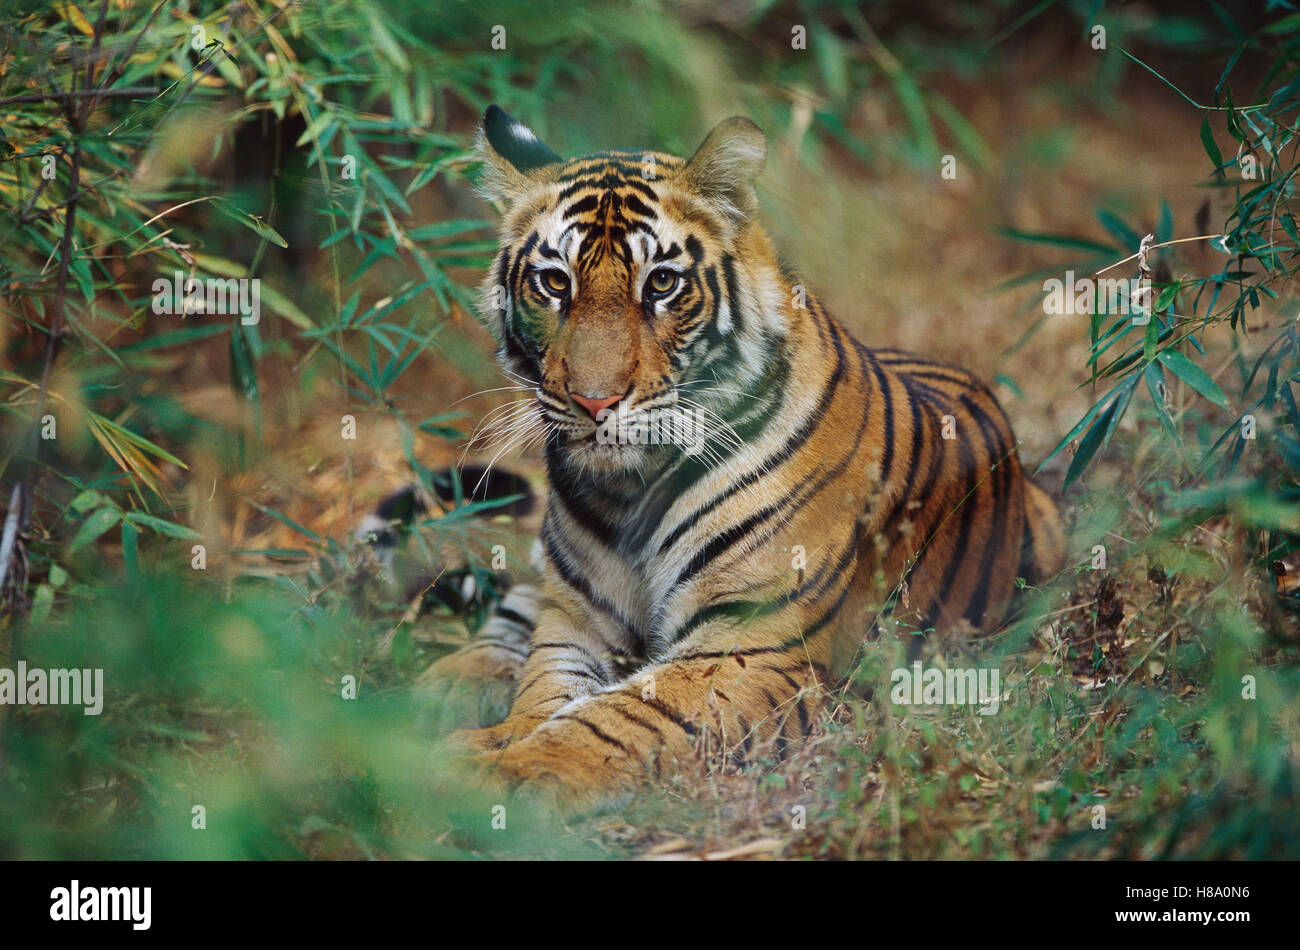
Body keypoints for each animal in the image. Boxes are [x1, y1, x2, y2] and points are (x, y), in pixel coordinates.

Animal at [403, 105, 1066, 812]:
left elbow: (611, 720)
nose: (594, 400)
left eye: (661, 284)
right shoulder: (574, 618)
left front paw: (504, 772)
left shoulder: (747, 643)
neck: (627, 490)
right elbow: (543, 689)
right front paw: (482, 738)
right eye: (555, 281)